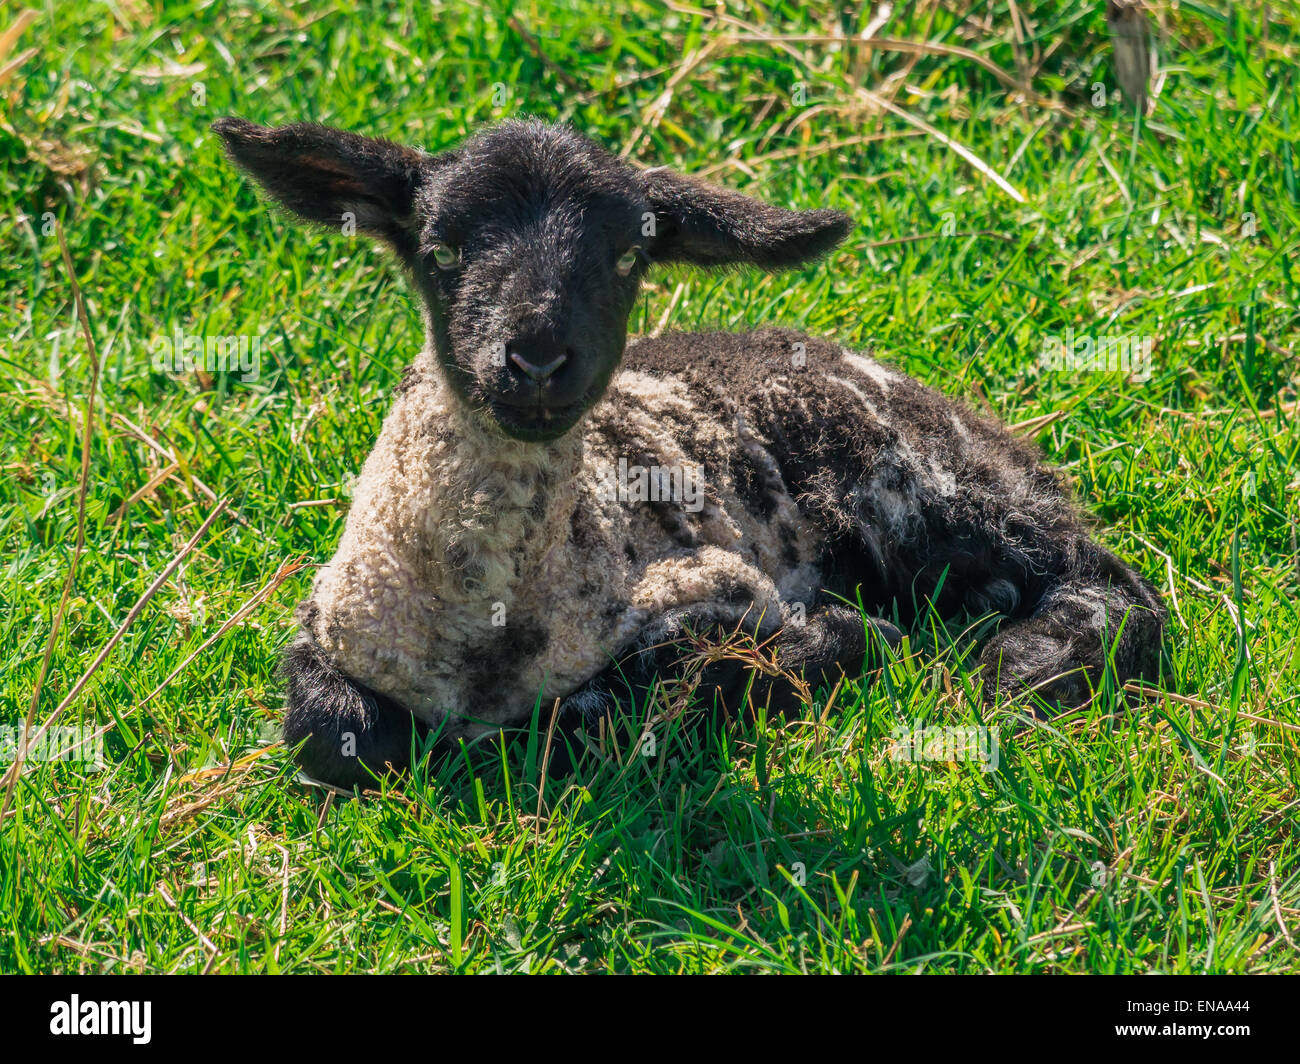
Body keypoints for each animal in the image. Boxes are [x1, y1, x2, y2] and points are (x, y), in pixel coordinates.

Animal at [213, 116, 1167, 789]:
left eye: (630, 256)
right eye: (439, 249)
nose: (536, 360)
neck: (485, 634)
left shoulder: (716, 586)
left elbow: (625, 707)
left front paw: (842, 641)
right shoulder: (331, 620)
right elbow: (336, 738)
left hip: (920, 480)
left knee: (1104, 579)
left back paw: (1016, 665)